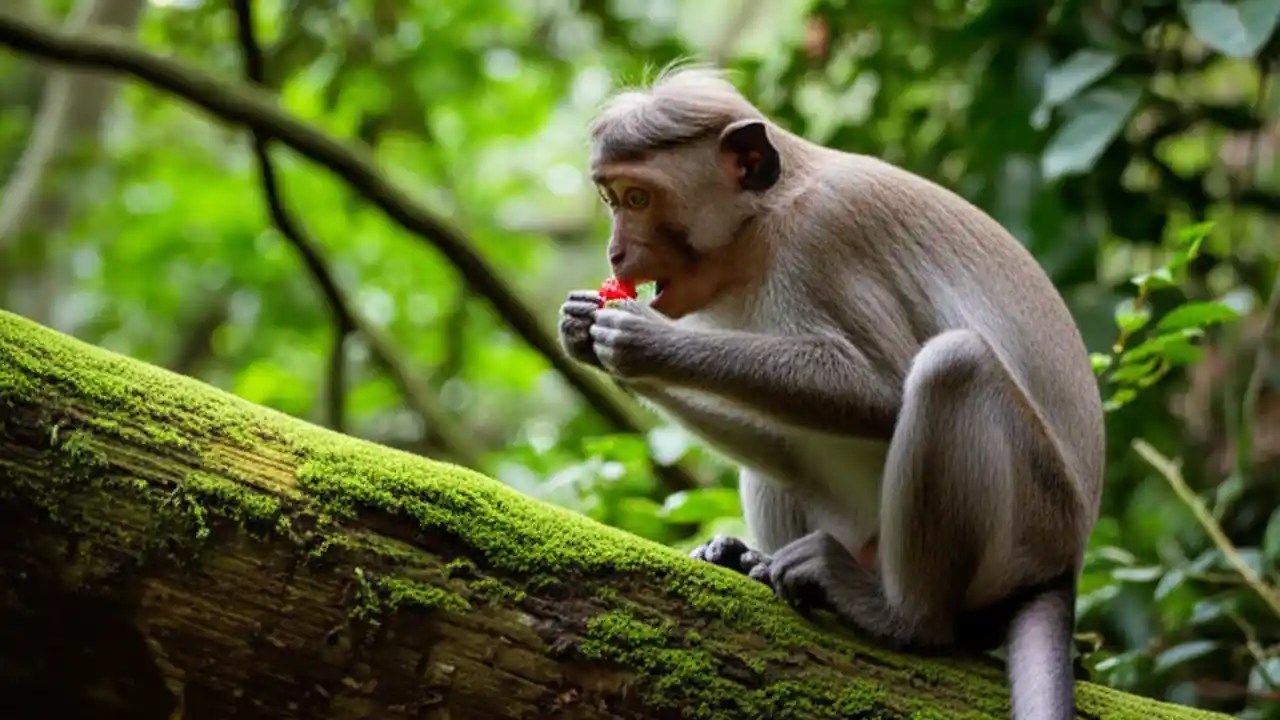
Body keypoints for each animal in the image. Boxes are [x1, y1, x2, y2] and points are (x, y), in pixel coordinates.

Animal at [557, 66, 1104, 720]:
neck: (761, 228)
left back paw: (903, 618)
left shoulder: (825, 236)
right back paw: (751, 559)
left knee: (953, 366)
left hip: (1033, 524)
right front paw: (583, 331)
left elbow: (883, 393)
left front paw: (641, 343)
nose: (615, 253)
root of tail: (1063, 567)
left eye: (638, 198)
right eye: (612, 200)